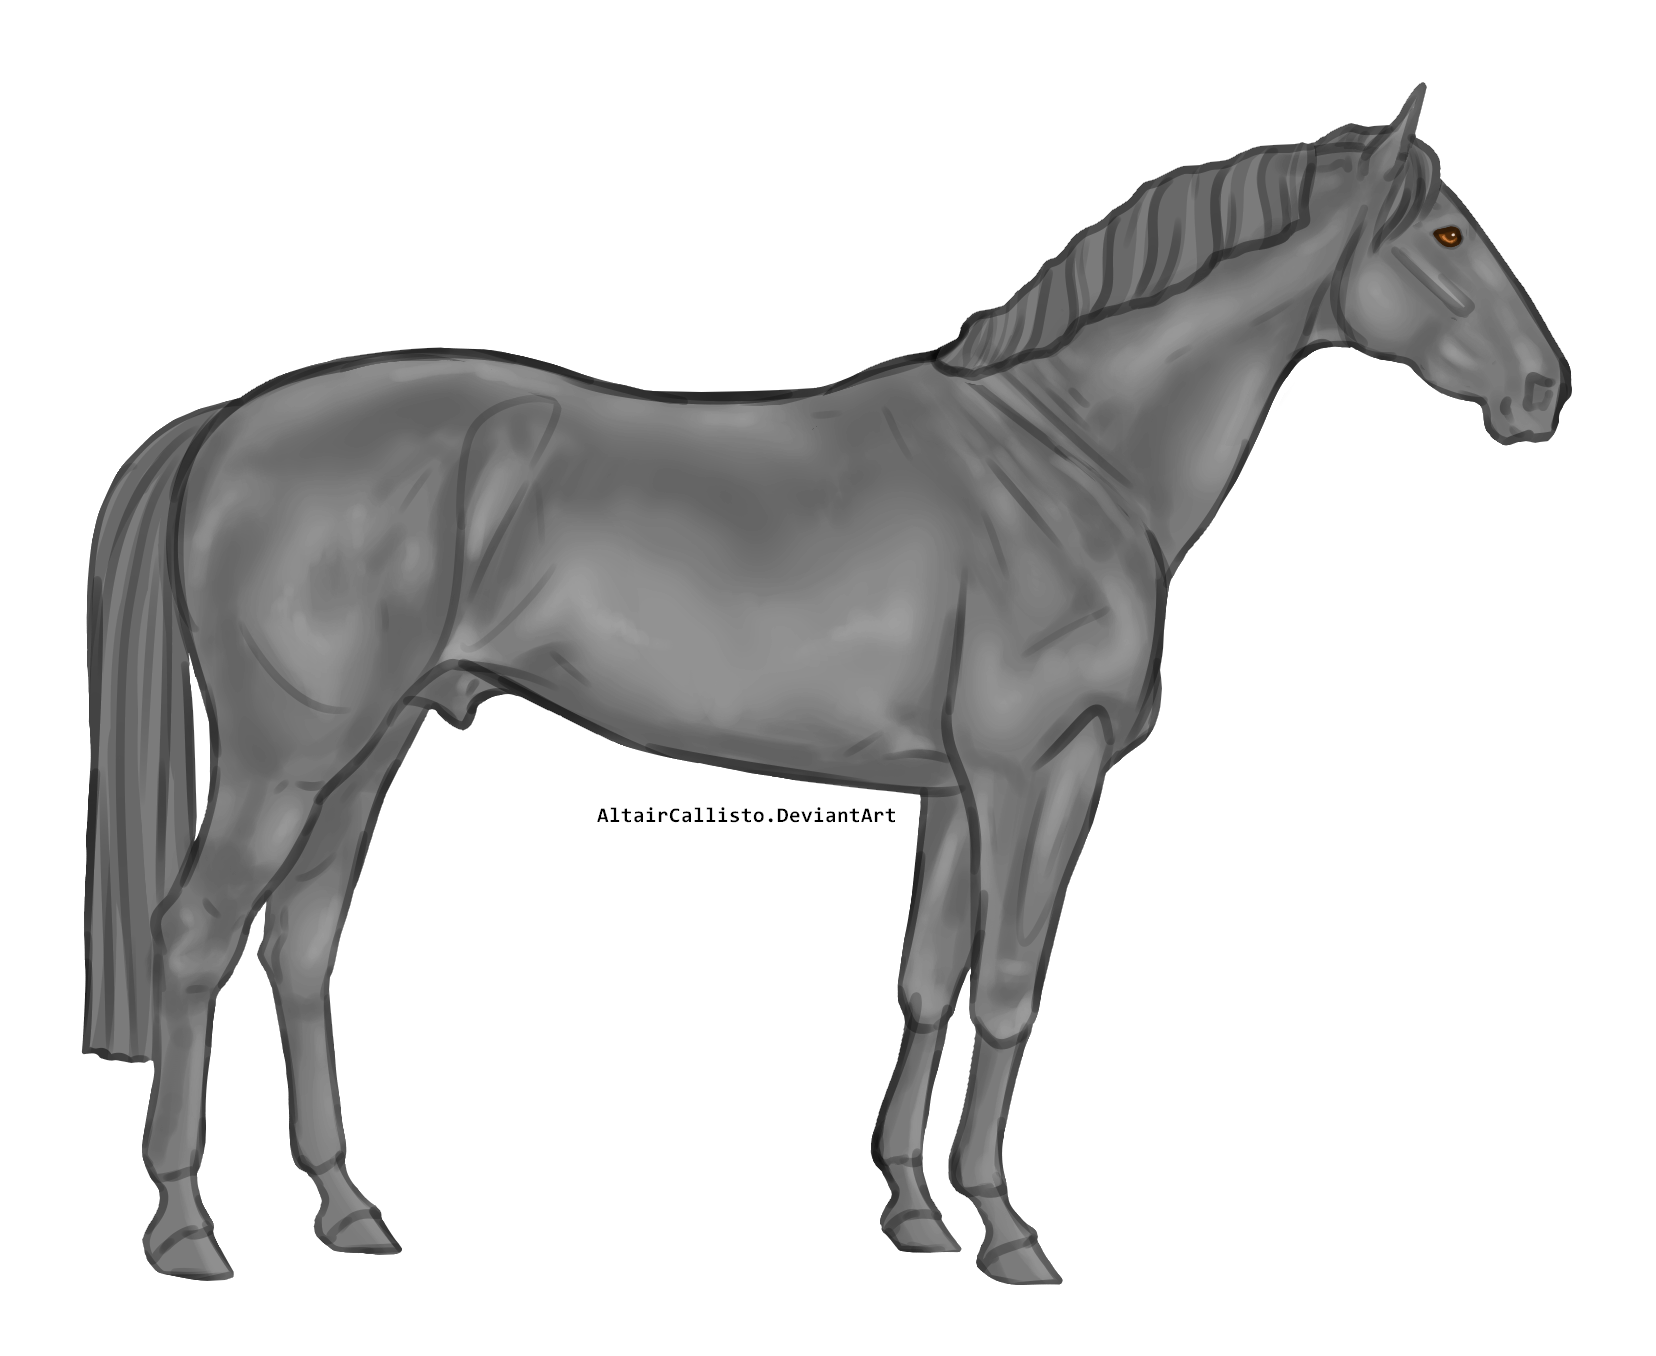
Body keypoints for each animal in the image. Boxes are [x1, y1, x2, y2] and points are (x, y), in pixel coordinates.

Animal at [84, 84, 1567, 1282]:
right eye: (1445, 237)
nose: (1546, 391)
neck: (1069, 457)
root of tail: (232, 424)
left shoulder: (960, 792)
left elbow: (928, 980)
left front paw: (914, 1210)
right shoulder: (1042, 774)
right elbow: (1011, 988)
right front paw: (1006, 1230)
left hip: (371, 746)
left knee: (300, 945)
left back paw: (346, 1210)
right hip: (284, 759)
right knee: (196, 937)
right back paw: (186, 1228)